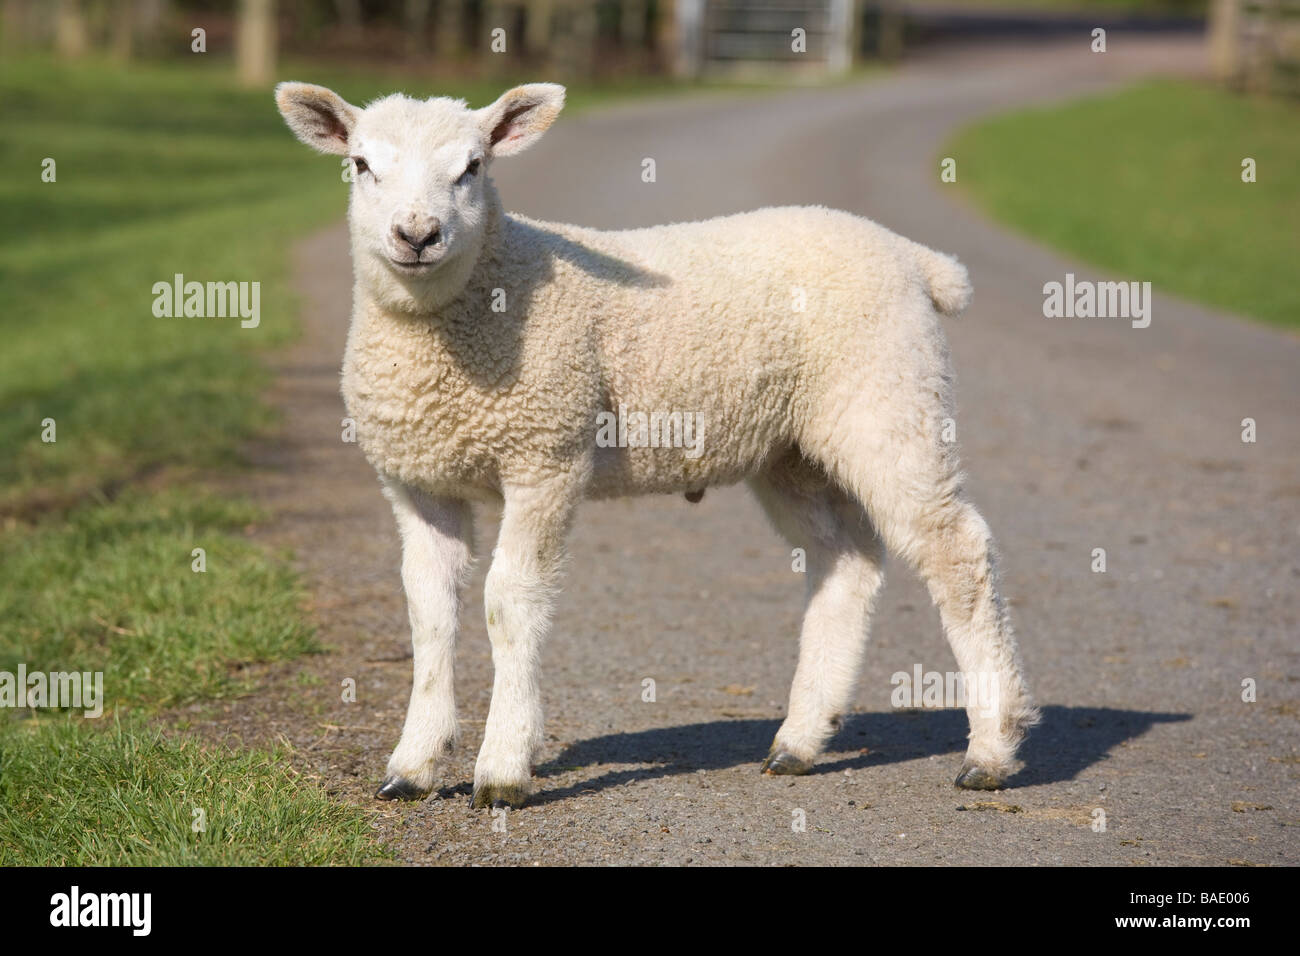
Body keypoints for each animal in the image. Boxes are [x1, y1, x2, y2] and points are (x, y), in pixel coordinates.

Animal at [275, 81, 1039, 809]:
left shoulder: (546, 456)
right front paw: (413, 765)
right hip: (790, 449)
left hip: (891, 401)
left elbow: (509, 602)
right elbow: (429, 612)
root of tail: (914, 259)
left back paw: (990, 752)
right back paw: (799, 740)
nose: (417, 234)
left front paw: (502, 769)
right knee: (846, 562)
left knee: (958, 552)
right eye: (360, 164)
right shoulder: (416, 480)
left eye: (473, 167)